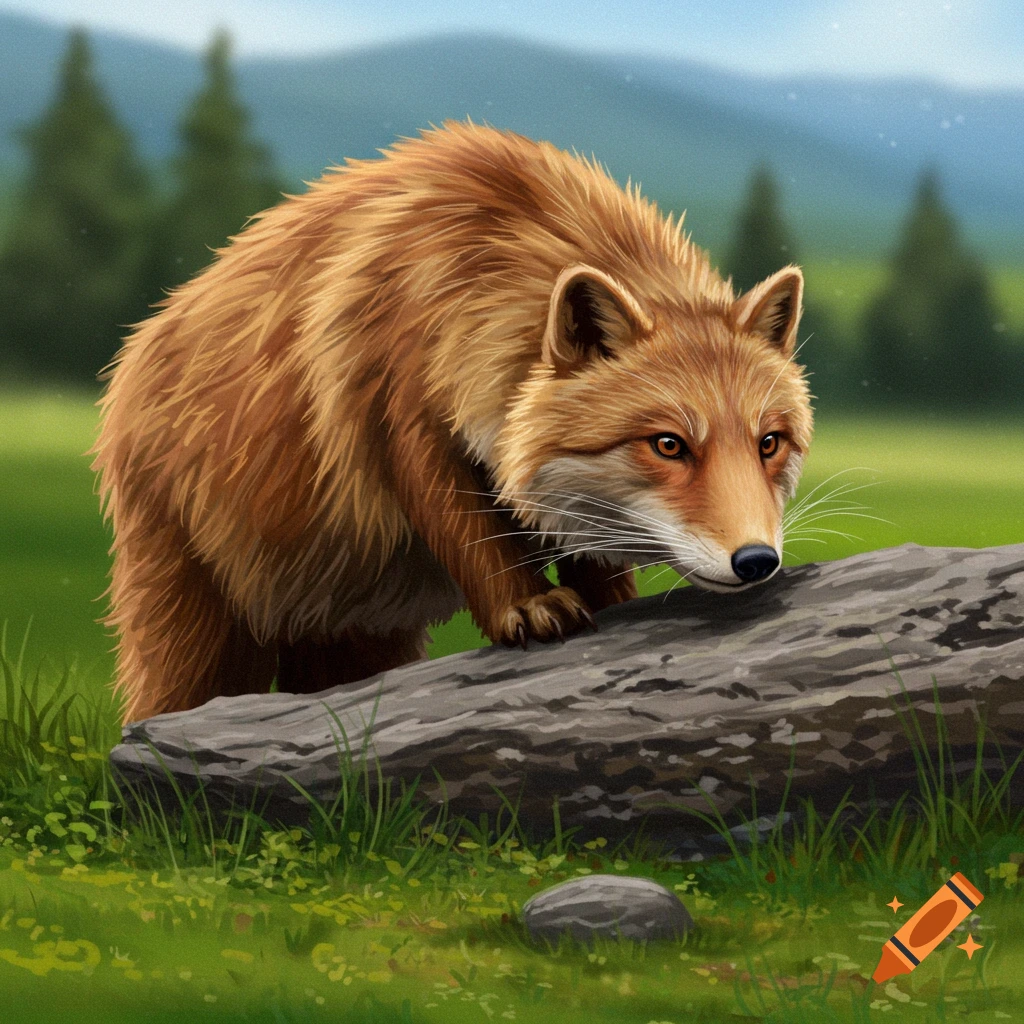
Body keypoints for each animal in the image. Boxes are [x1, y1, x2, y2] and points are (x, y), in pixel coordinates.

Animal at [91, 120, 813, 724]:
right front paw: (529, 607)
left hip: (350, 634)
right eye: (668, 445)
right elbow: (468, 529)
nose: (757, 560)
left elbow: (590, 556)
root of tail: (134, 352)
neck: (480, 266)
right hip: (202, 624)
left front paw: (615, 608)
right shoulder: (400, 405)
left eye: (769, 443)